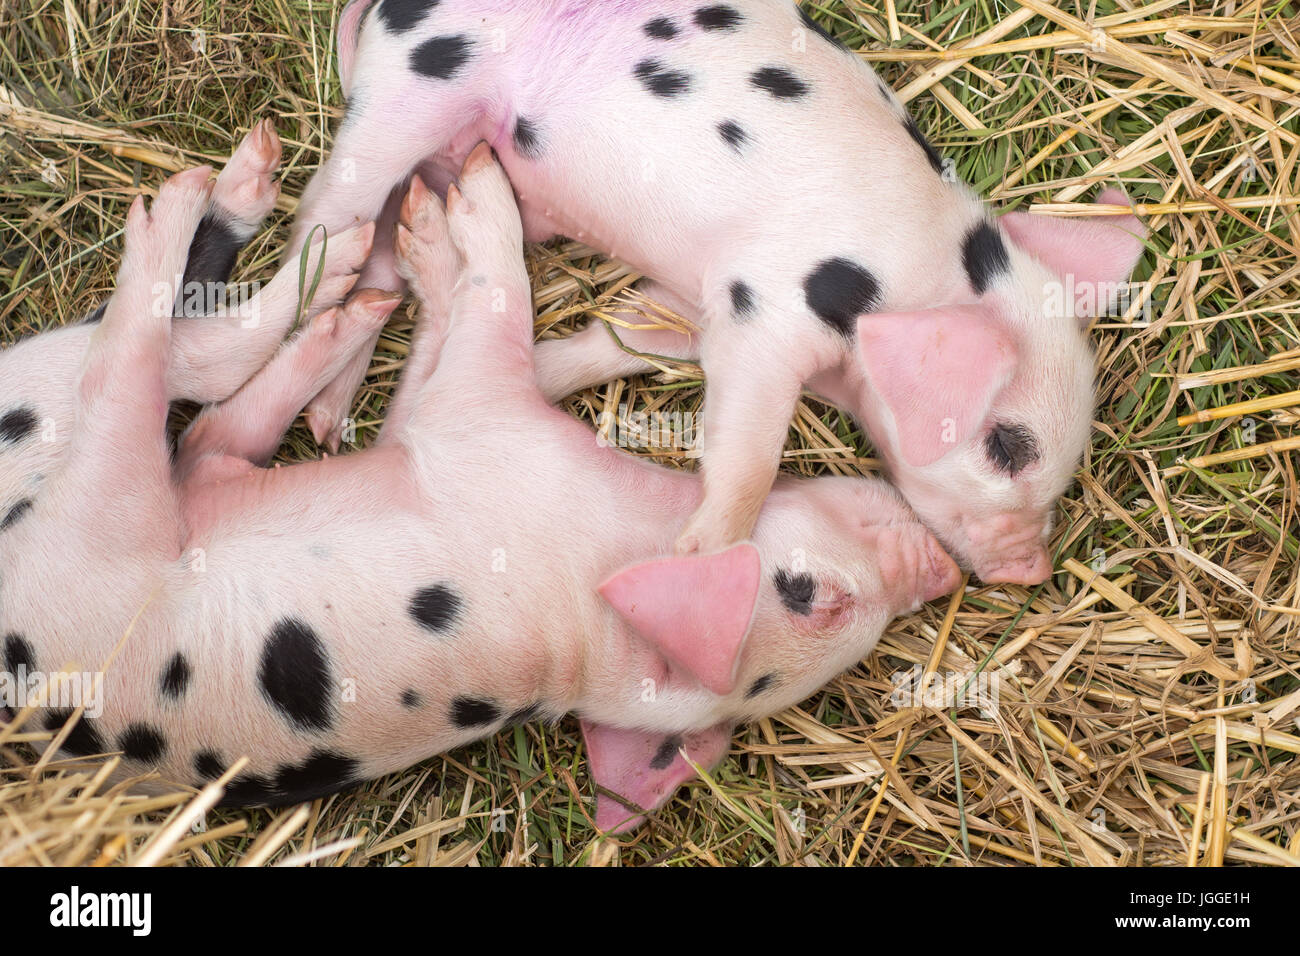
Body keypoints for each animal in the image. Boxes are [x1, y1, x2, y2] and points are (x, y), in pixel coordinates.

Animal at [0, 146, 959, 833]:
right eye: (828, 600)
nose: (940, 568)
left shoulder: (487, 421)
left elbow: (501, 312)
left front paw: (477, 189)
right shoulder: (437, 429)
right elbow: (453, 346)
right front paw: (433, 231)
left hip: (105, 504)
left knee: (156, 370)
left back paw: (208, 216)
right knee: (203, 419)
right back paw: (331, 272)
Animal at [286, 0, 1147, 586]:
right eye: (1006, 445)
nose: (1033, 569)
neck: (906, 274)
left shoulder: (700, 294)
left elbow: (623, 339)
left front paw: (545, 373)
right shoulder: (766, 307)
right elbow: (749, 454)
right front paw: (700, 554)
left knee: (386, 252)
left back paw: (333, 424)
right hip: (414, 87)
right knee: (326, 219)